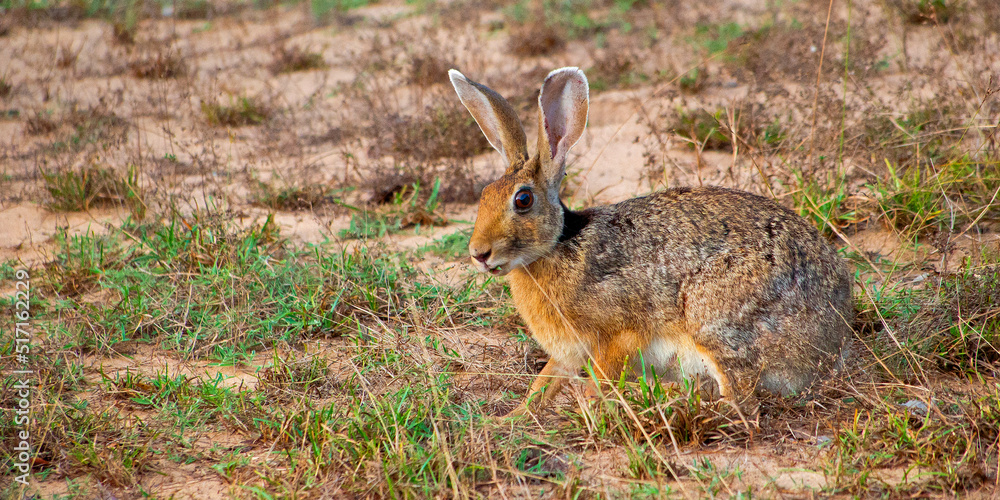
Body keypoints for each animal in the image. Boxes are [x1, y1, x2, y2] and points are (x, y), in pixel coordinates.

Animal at [449, 67, 853, 417]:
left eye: (523, 200)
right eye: (484, 196)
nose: (478, 254)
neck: (557, 247)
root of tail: (834, 336)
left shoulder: (621, 332)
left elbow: (601, 379)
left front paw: (589, 408)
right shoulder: (567, 354)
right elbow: (543, 385)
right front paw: (510, 419)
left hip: (715, 320)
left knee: (740, 400)